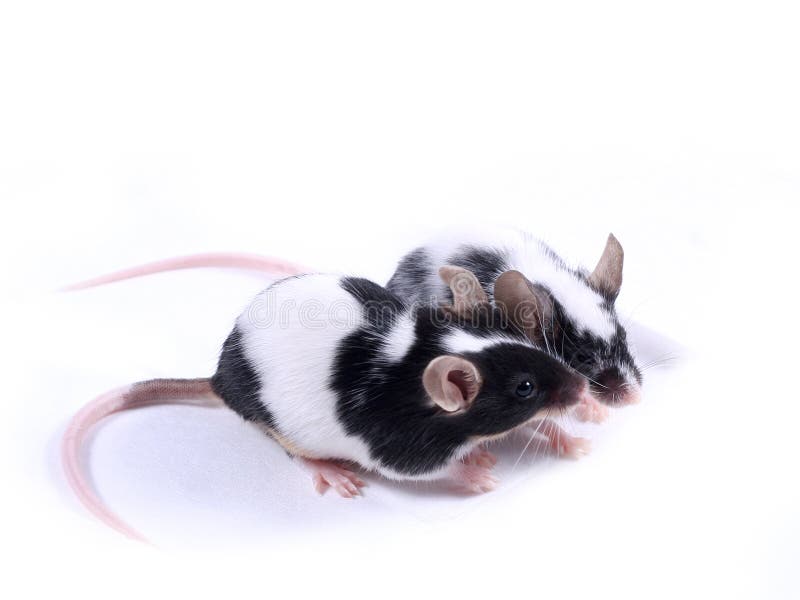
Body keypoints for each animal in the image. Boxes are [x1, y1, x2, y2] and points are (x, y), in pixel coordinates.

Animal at [63, 268, 592, 542]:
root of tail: (221, 377)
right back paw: (330, 470)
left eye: (533, 347)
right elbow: (423, 468)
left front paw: (567, 437)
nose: (583, 388)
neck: (417, 358)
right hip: (283, 427)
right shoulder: (400, 445)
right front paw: (476, 472)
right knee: (293, 451)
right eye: (524, 387)